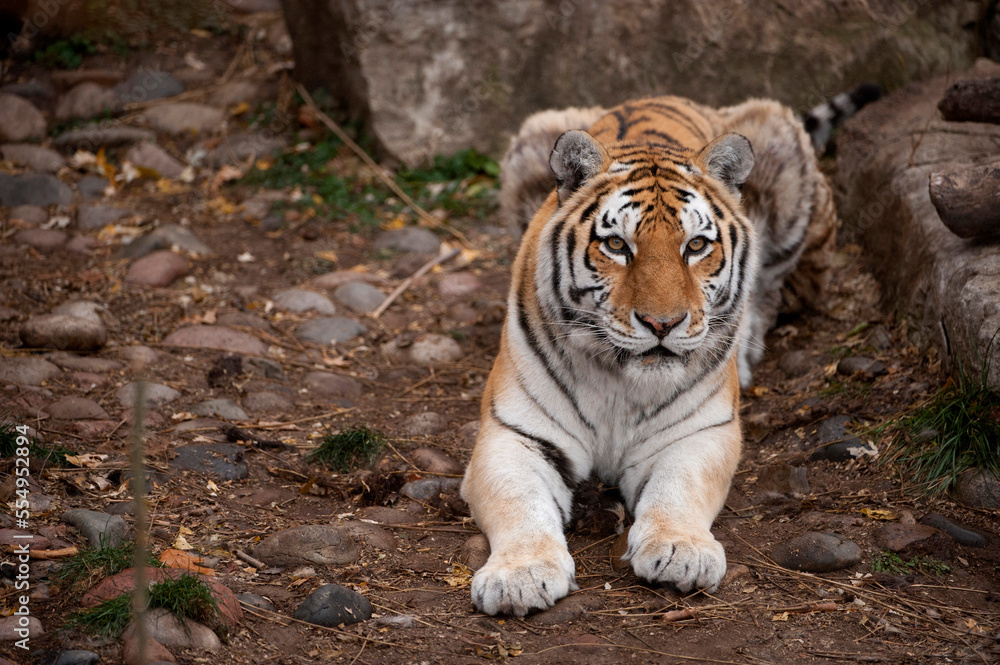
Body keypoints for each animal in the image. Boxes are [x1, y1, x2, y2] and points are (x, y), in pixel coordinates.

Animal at [460, 93, 850, 616]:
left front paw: (680, 550)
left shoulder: (699, 432)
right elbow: (518, 501)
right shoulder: (513, 434)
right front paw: (520, 575)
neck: (617, 380)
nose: (662, 324)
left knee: (775, 289)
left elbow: (677, 489)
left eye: (697, 245)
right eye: (616, 245)